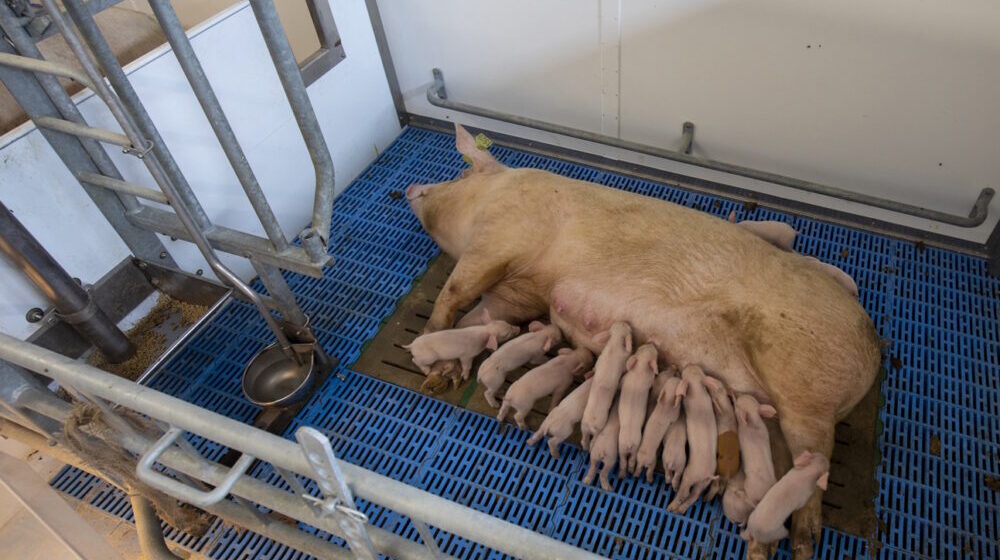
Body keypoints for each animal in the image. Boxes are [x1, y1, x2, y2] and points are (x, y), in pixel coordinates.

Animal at [617, 344, 660, 475]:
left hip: (625, 447)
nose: (652, 343)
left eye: (655, 354)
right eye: (641, 348)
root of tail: (629, 442)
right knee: (629, 461)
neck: (640, 369)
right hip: (629, 447)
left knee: (626, 461)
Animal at [667, 365, 718, 513]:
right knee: (694, 496)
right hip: (703, 484)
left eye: (686, 374)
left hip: (689, 476)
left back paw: (671, 507)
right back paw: (681, 510)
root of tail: (706, 474)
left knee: (684, 492)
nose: (689, 364)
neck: (697, 390)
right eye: (700, 371)